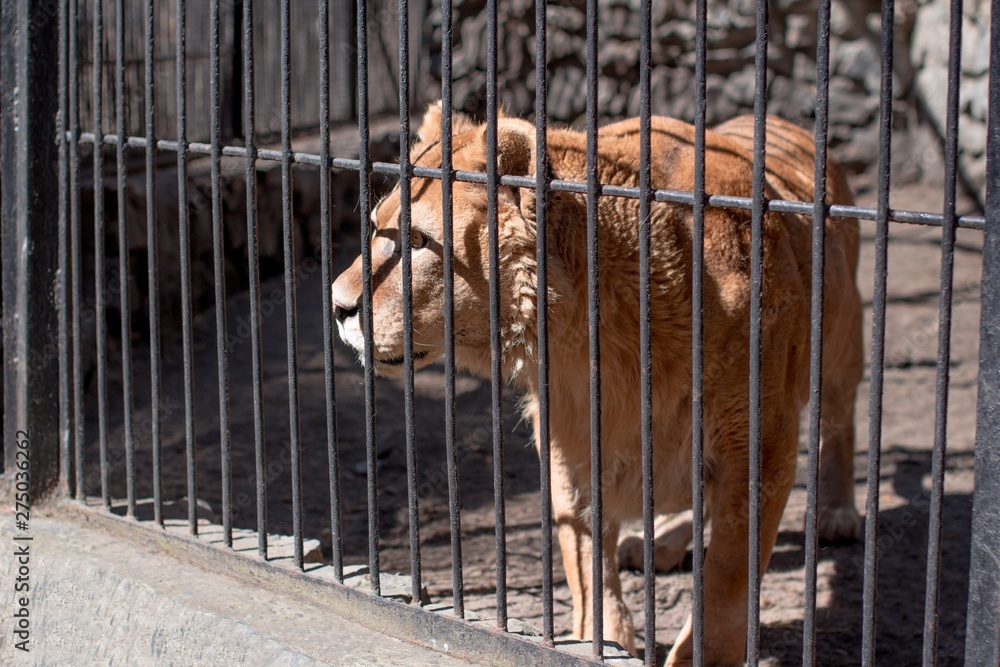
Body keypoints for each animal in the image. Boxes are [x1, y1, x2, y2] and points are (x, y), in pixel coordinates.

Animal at [331, 102, 863, 665]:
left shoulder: (759, 446)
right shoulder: (571, 440)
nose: (337, 306)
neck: (595, 338)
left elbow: (727, 580)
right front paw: (600, 639)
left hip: (842, 343)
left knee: (841, 420)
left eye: (416, 241)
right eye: (374, 228)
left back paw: (837, 513)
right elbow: (586, 554)